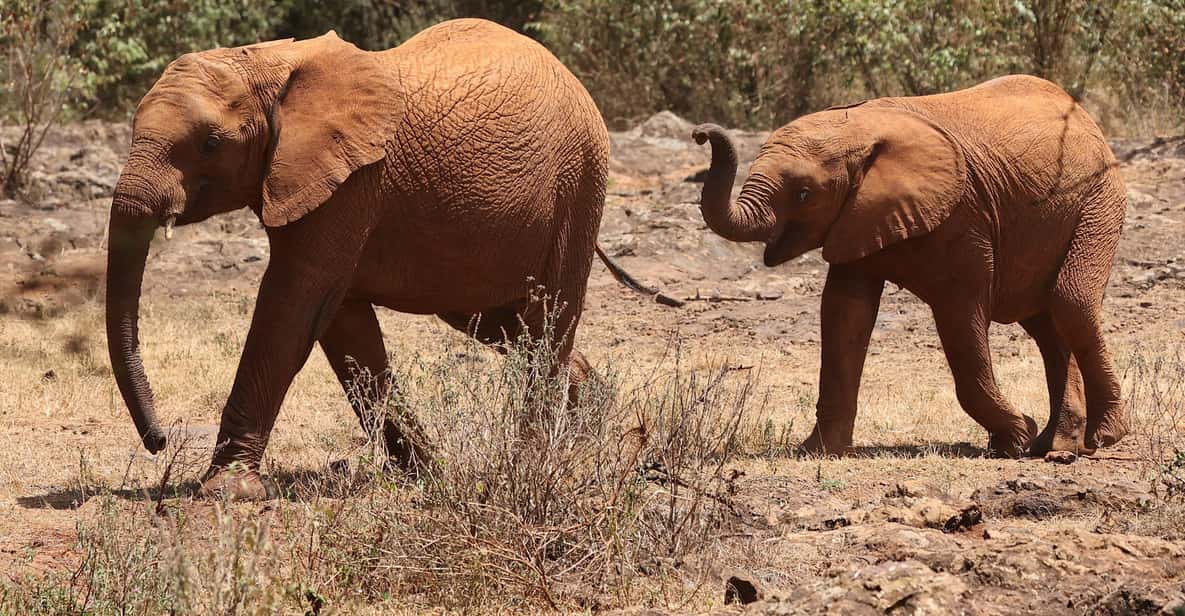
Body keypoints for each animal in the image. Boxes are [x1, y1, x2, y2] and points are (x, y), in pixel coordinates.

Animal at [106, 19, 640, 499]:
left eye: (211, 144)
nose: (159, 441)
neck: (270, 62)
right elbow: (344, 329)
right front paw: (431, 477)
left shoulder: (352, 183)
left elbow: (291, 310)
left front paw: (227, 490)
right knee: (505, 325)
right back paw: (589, 420)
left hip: (579, 184)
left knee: (550, 319)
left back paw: (534, 460)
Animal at [692, 75, 1127, 458]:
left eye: (803, 194)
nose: (701, 133)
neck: (861, 127)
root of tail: (1084, 115)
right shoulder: (857, 216)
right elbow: (844, 314)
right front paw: (815, 453)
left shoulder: (964, 216)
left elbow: (960, 316)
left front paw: (1013, 438)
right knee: (1047, 324)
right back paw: (1056, 447)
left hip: (1099, 200)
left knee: (1070, 303)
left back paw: (1102, 437)